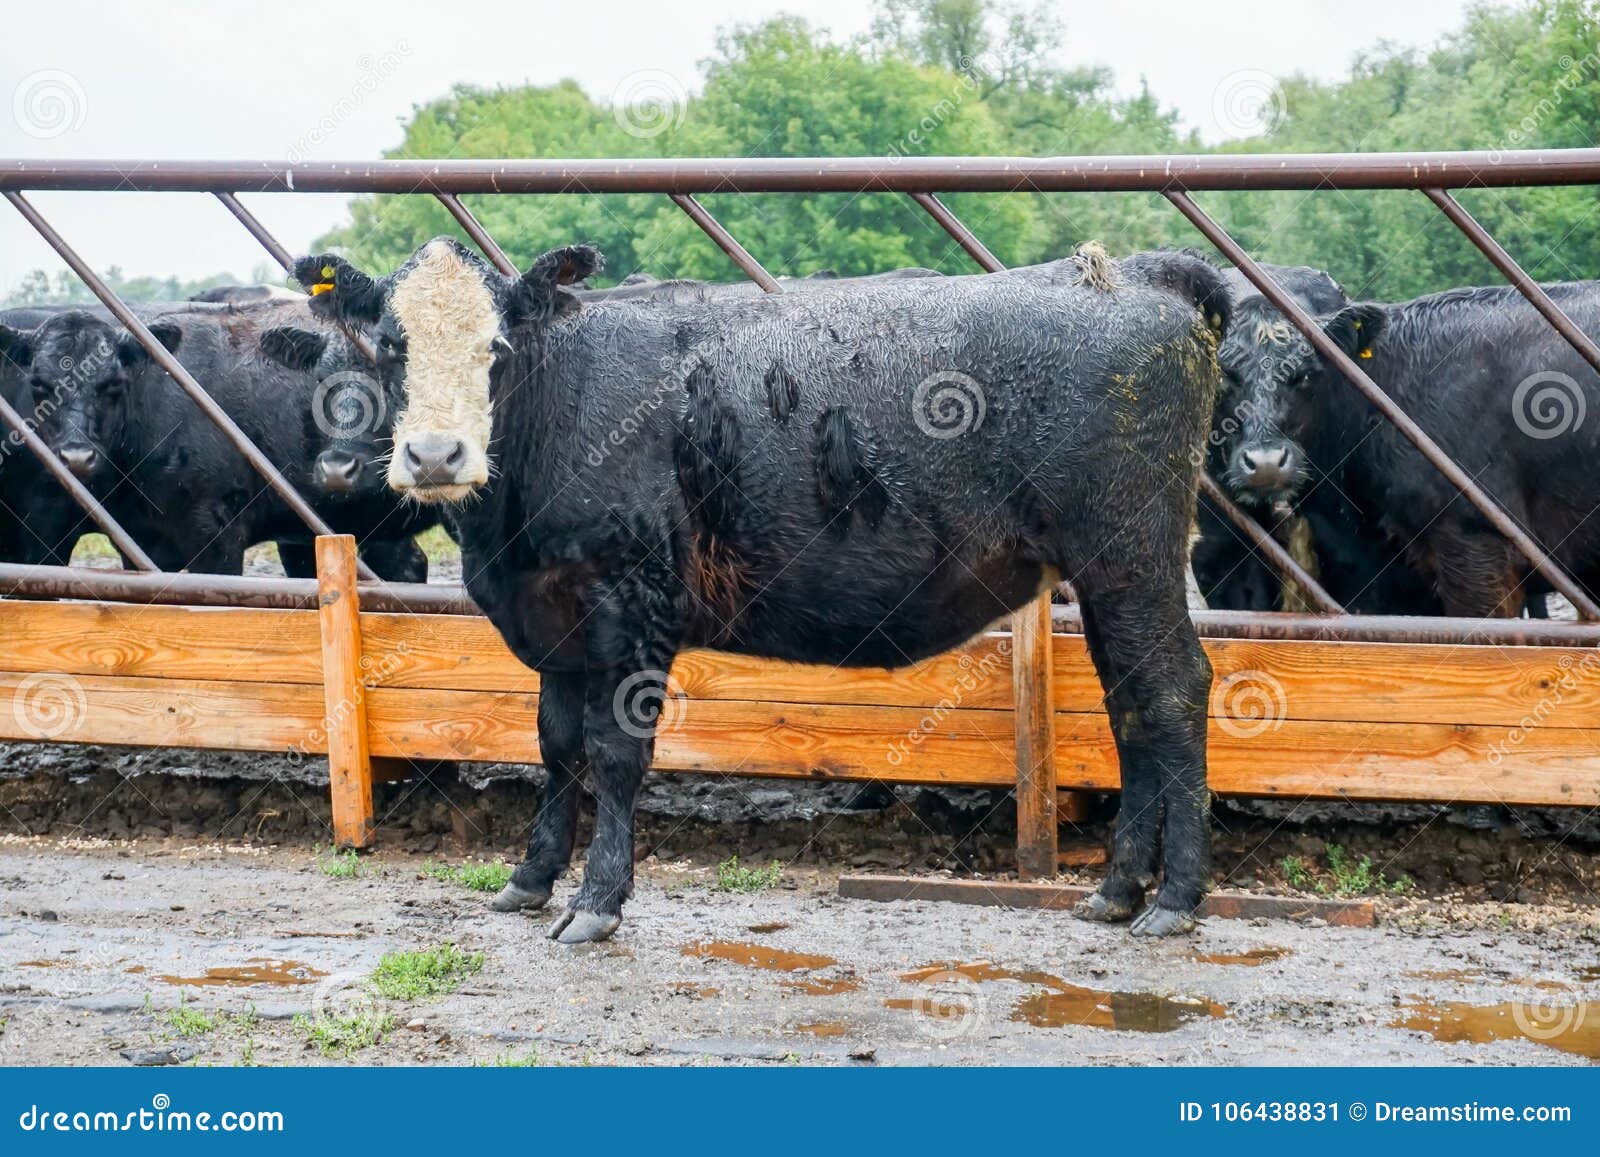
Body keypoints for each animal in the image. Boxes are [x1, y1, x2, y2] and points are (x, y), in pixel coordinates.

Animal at [295, 236, 1230, 942]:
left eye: (496, 349)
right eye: (391, 345)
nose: (435, 456)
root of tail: (1136, 270)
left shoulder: (633, 603)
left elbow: (615, 752)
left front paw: (596, 903)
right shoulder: (555, 620)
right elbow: (555, 744)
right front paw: (530, 879)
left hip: (1133, 556)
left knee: (1175, 692)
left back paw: (1175, 899)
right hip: (1109, 578)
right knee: (1130, 706)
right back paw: (1117, 889)